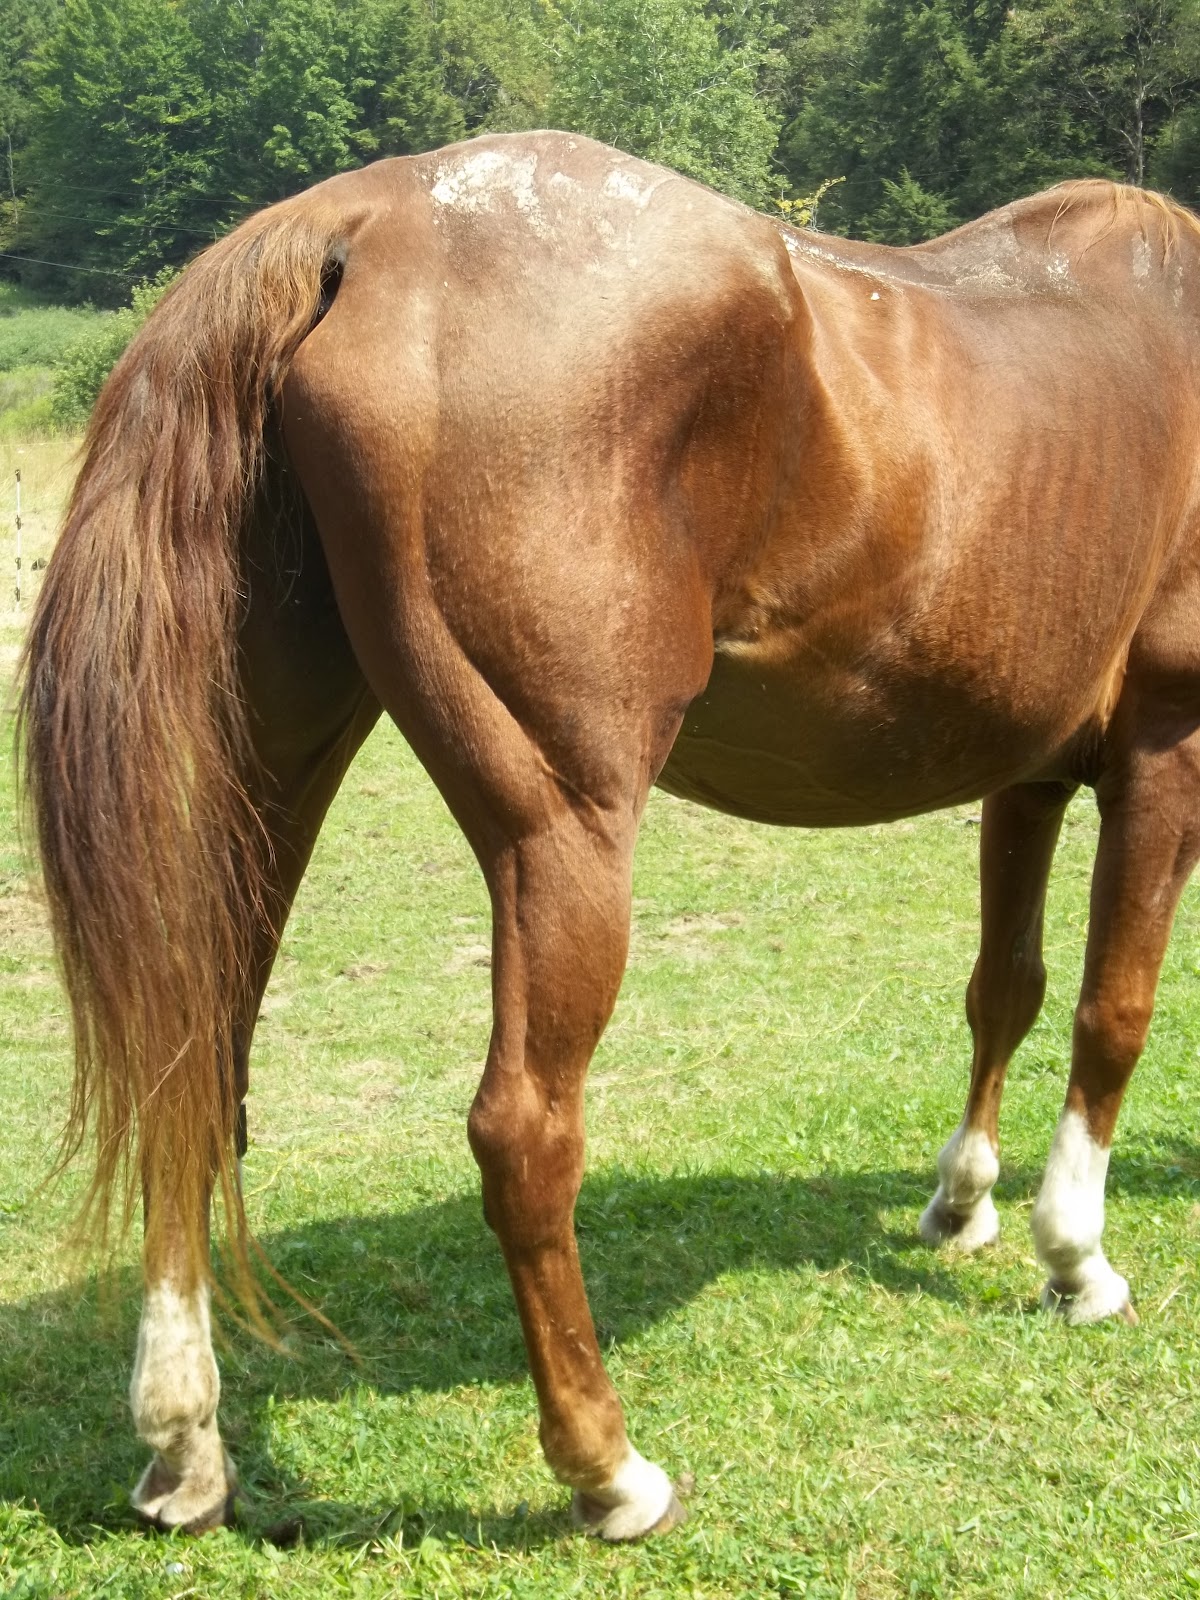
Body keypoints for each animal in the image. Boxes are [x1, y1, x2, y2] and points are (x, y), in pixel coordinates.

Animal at [18, 130, 1200, 1540]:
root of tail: (356, 220)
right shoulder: (1163, 754)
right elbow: (1112, 1010)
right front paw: (1074, 1259)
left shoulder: (1022, 774)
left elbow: (1003, 989)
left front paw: (961, 1200)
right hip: (562, 833)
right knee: (524, 1135)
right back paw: (605, 1467)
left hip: (259, 792)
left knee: (194, 1066)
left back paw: (185, 1443)